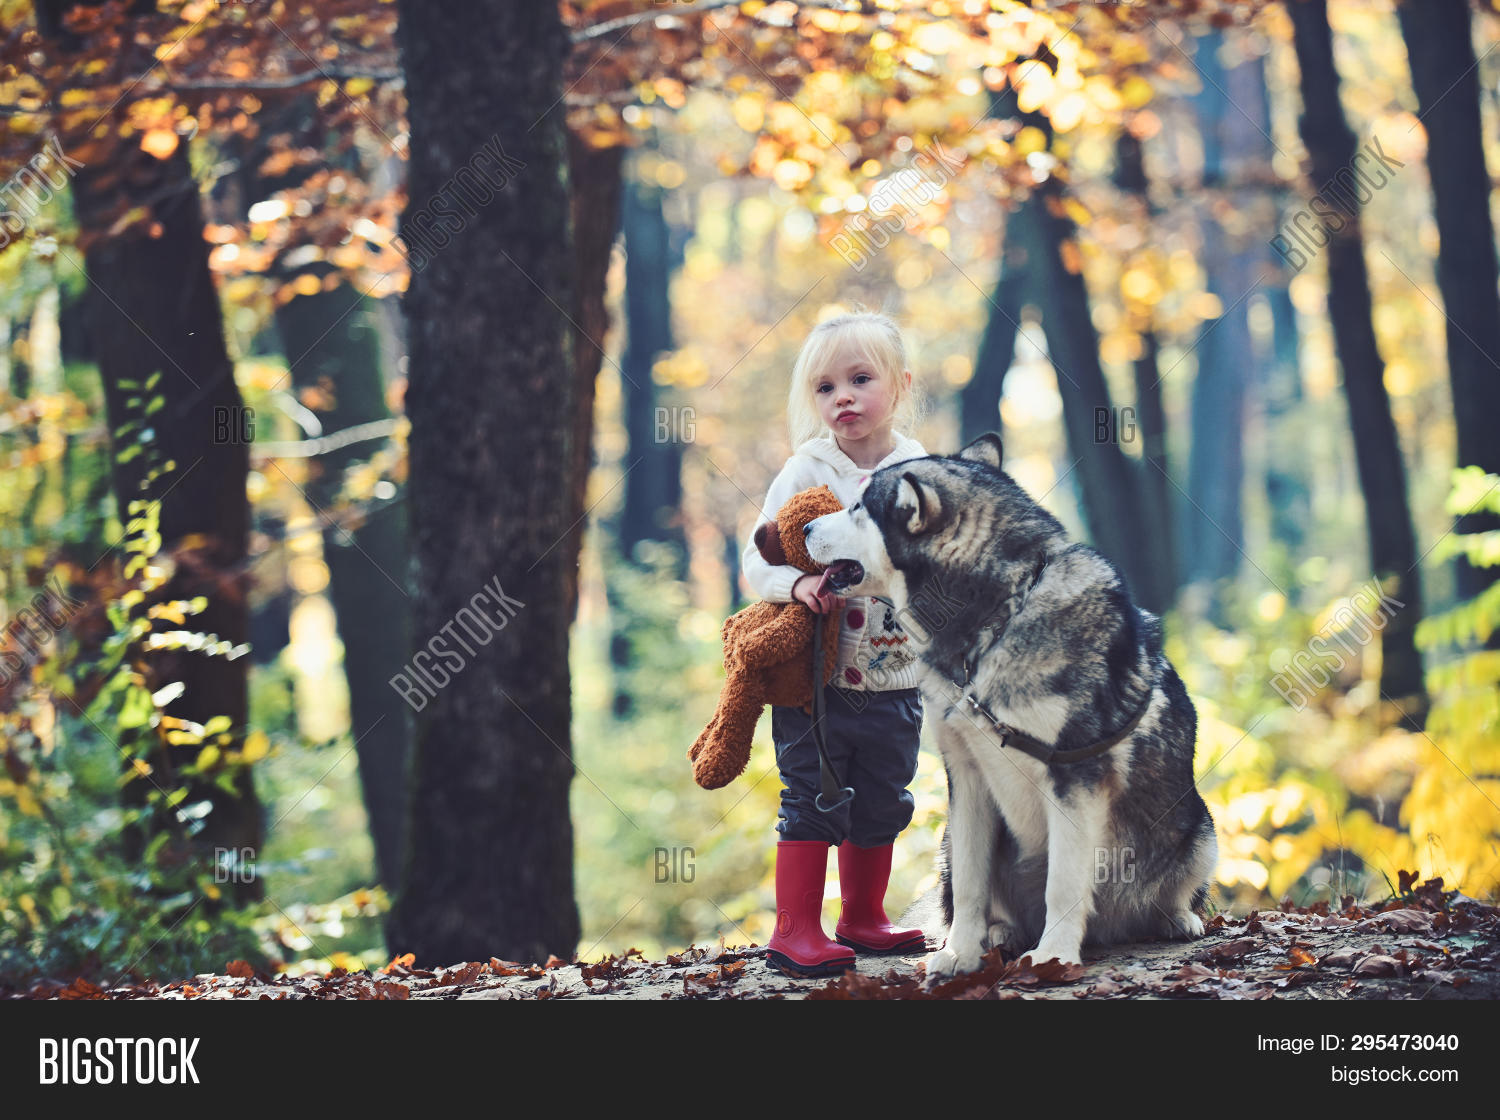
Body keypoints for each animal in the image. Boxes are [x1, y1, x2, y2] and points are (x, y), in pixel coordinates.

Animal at [802, 432, 1217, 978]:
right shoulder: (966, 775)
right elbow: (971, 885)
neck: (995, 619)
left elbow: (1063, 881)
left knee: (1168, 890)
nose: (804, 527)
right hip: (950, 847)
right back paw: (999, 935)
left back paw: (1173, 918)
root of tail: (1111, 930)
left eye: (857, 508)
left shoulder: (1074, 776)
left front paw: (1054, 954)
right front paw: (960, 951)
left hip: (1200, 831)